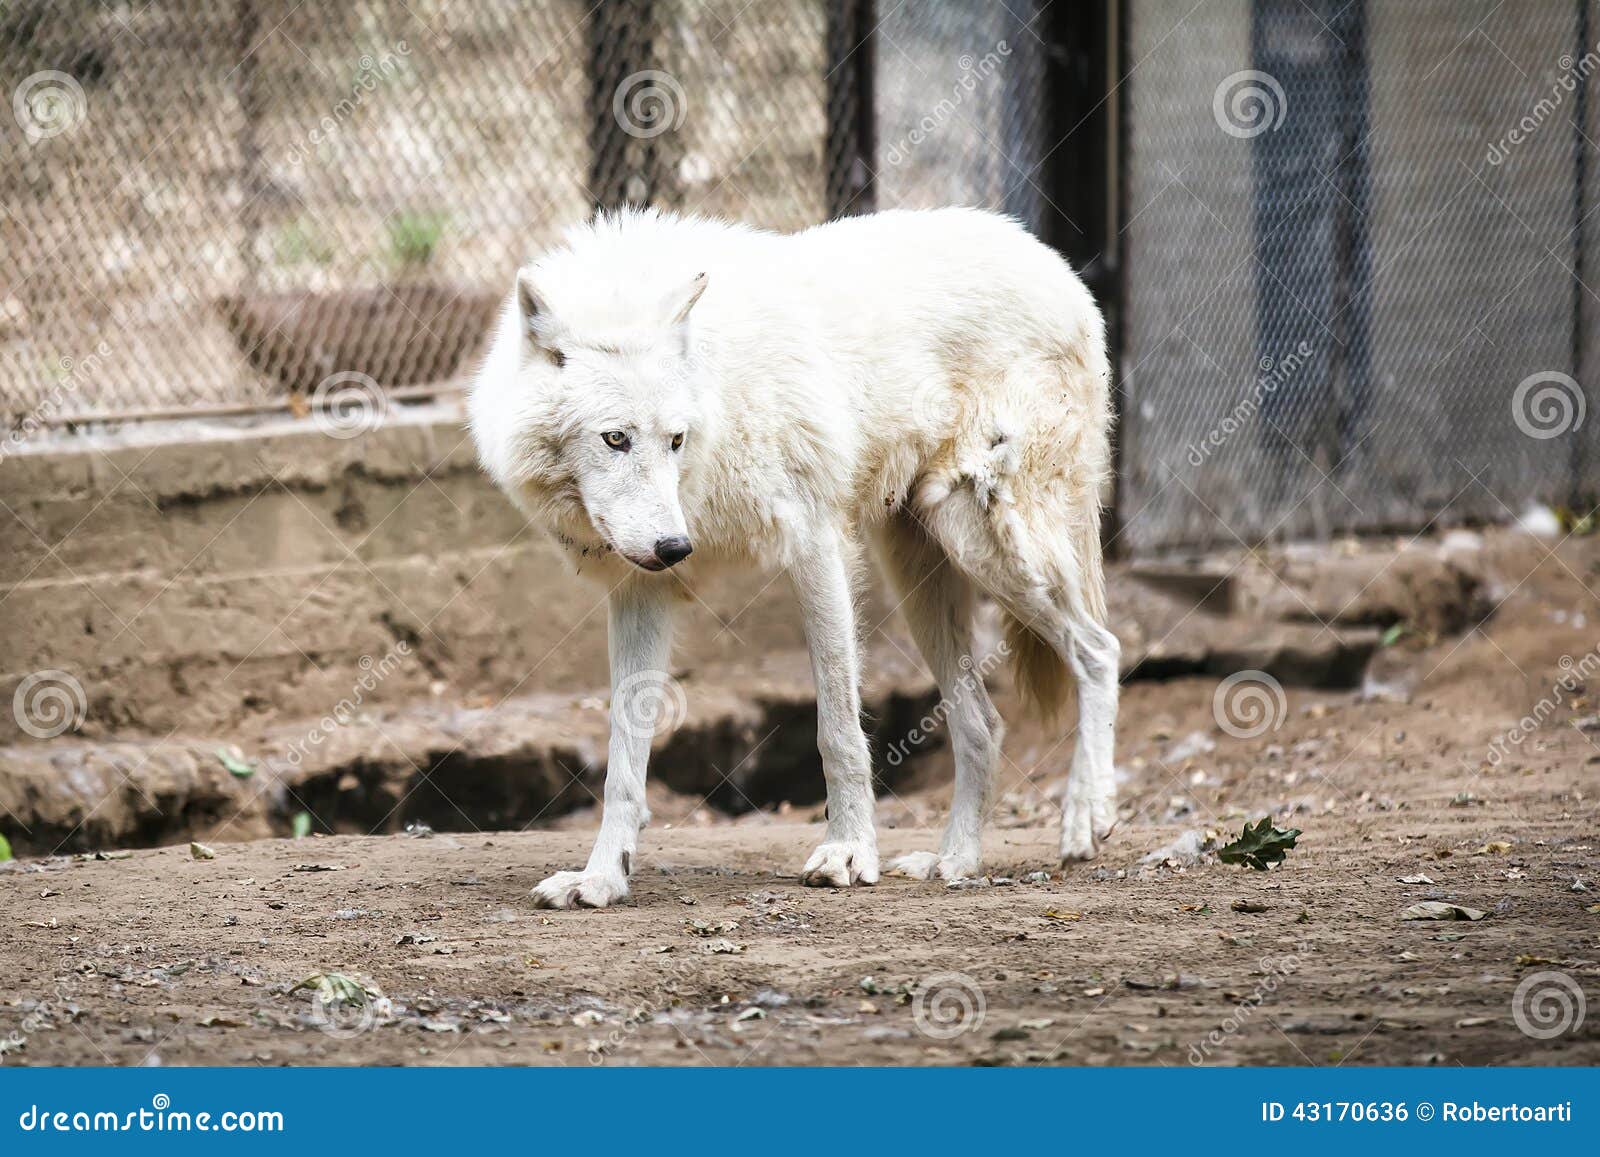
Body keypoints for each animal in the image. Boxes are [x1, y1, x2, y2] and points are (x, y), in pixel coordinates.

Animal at [469, 206, 1119, 909]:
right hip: (918, 574)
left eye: (675, 440)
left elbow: (838, 730)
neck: (719, 389)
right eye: (615, 439)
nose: (676, 547)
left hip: (984, 538)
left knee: (1098, 649)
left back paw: (1086, 816)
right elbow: (623, 760)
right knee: (983, 724)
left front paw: (848, 853)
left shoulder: (814, 543)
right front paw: (601, 878)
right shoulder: (642, 590)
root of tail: (1058, 268)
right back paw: (954, 861)